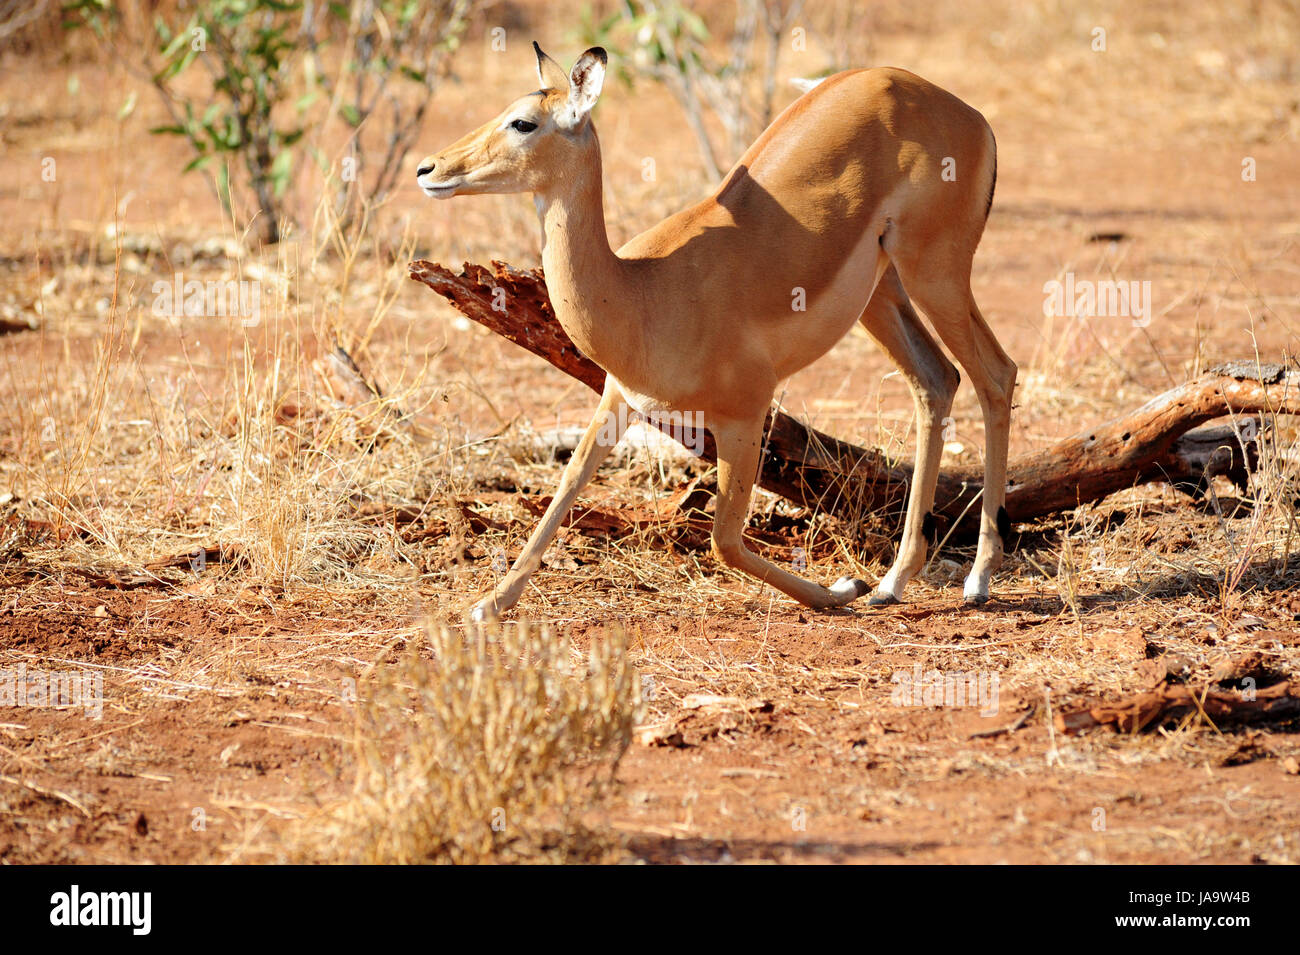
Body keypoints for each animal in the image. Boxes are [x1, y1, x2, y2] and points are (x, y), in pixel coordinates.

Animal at [417, 44, 1016, 621]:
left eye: (523, 122)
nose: (428, 169)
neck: (640, 291)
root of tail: (969, 115)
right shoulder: (618, 400)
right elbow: (564, 489)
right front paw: (490, 604)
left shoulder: (745, 415)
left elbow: (724, 541)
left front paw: (841, 588)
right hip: (882, 292)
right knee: (936, 381)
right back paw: (892, 583)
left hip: (934, 274)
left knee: (996, 375)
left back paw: (976, 581)